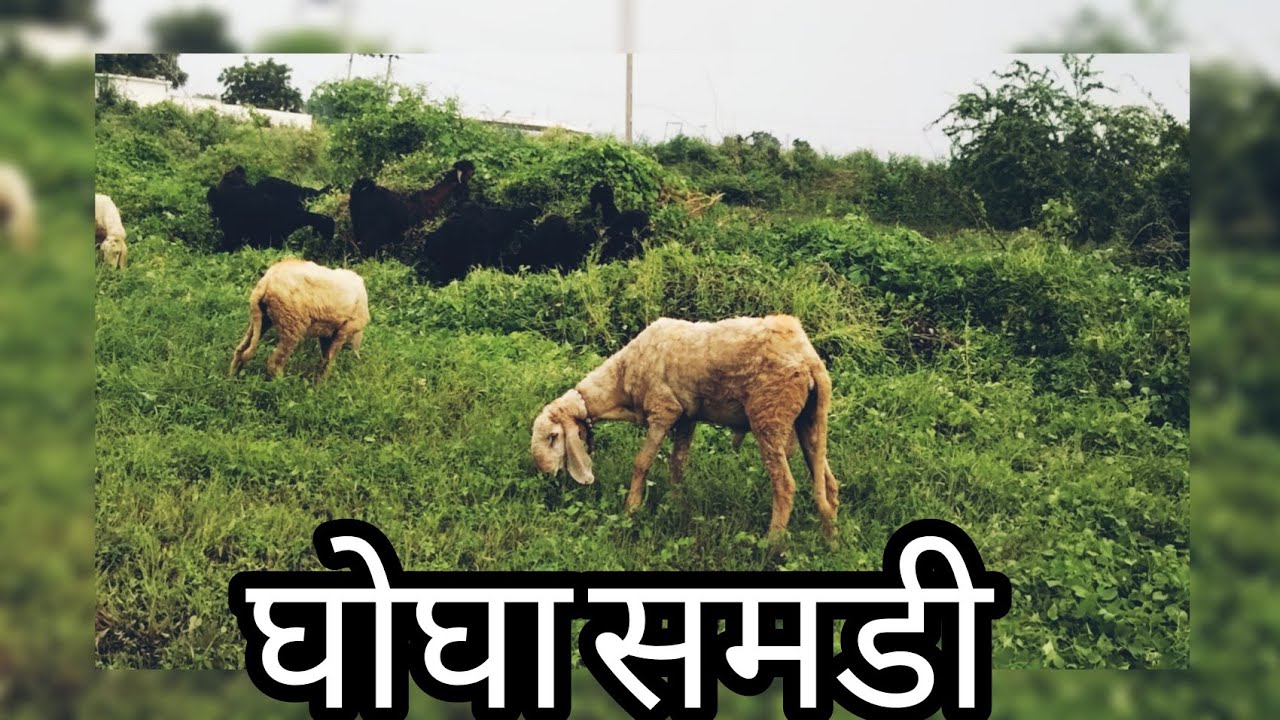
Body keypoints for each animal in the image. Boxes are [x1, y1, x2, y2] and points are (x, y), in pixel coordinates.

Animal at [229, 258, 370, 382]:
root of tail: (266, 282)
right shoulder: (344, 330)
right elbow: (330, 360)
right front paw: (322, 385)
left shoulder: (327, 333)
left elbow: (325, 358)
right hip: (291, 323)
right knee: (274, 363)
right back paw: (283, 384)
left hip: (262, 319)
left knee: (241, 350)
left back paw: (231, 378)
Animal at [530, 314, 840, 543]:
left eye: (553, 436)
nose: (545, 473)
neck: (621, 380)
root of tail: (809, 358)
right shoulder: (686, 418)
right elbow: (677, 465)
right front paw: (678, 506)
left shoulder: (664, 410)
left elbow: (641, 463)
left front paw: (631, 509)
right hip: (808, 420)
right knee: (828, 482)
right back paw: (830, 537)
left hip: (770, 415)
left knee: (785, 486)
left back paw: (771, 545)